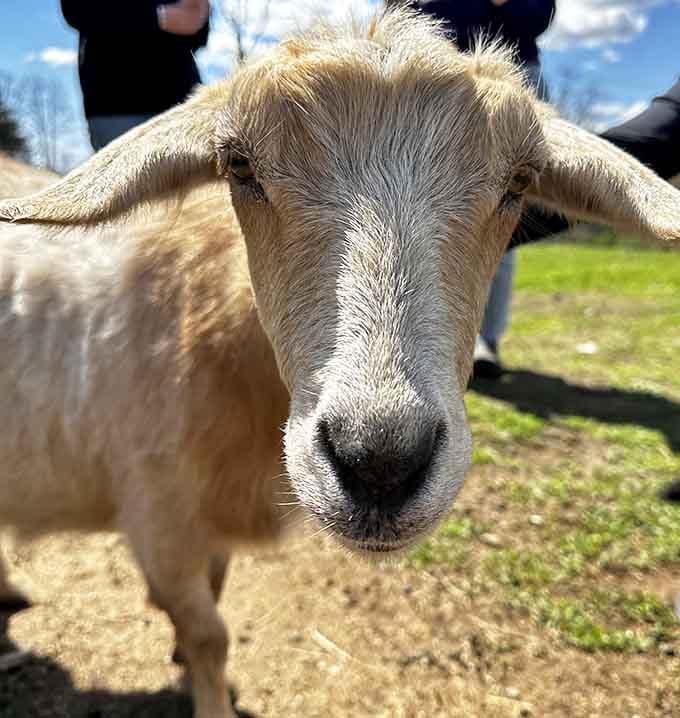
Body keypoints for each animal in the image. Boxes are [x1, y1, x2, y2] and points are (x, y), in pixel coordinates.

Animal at [1, 9, 679, 718]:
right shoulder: (158, 519)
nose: (380, 463)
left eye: (519, 182)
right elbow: (210, 634)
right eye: (239, 165)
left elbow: (212, 602)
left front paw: (183, 659)